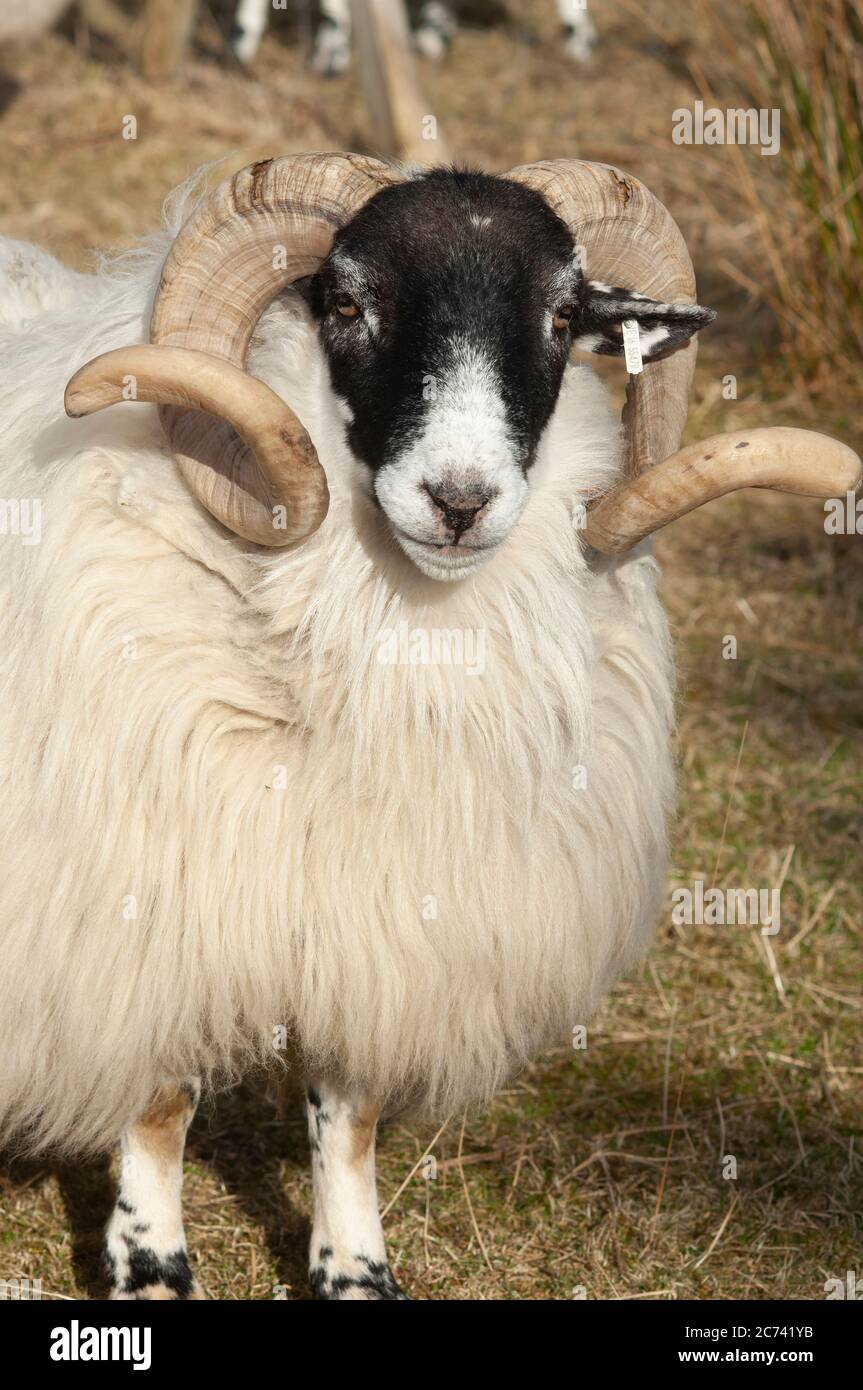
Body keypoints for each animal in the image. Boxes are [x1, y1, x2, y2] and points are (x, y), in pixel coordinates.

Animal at [0, 152, 858, 1300]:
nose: (459, 500)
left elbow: (350, 1109)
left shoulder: (387, 899)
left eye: (561, 316)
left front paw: (355, 1272)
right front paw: (154, 1272)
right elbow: (161, 1102)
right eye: (346, 303)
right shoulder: (149, 899)